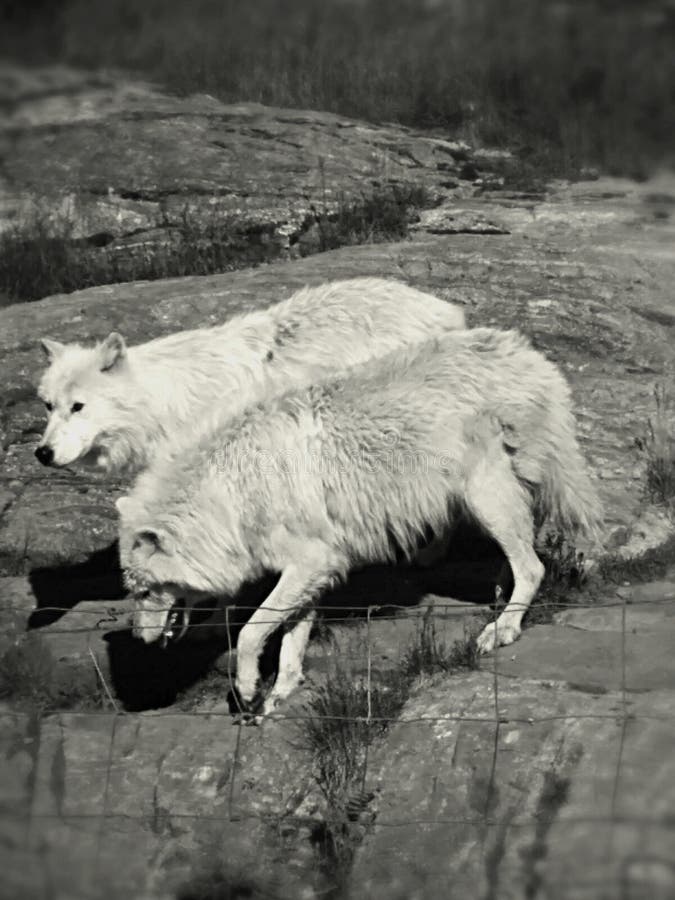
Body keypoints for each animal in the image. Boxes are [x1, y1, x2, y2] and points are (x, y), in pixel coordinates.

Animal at [117, 327, 602, 717]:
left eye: (144, 591)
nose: (140, 639)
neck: (230, 490)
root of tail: (529, 356)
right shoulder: (315, 564)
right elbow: (291, 636)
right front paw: (280, 693)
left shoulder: (310, 561)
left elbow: (254, 631)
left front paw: (249, 690)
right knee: (519, 555)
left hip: (486, 498)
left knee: (533, 566)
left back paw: (502, 629)